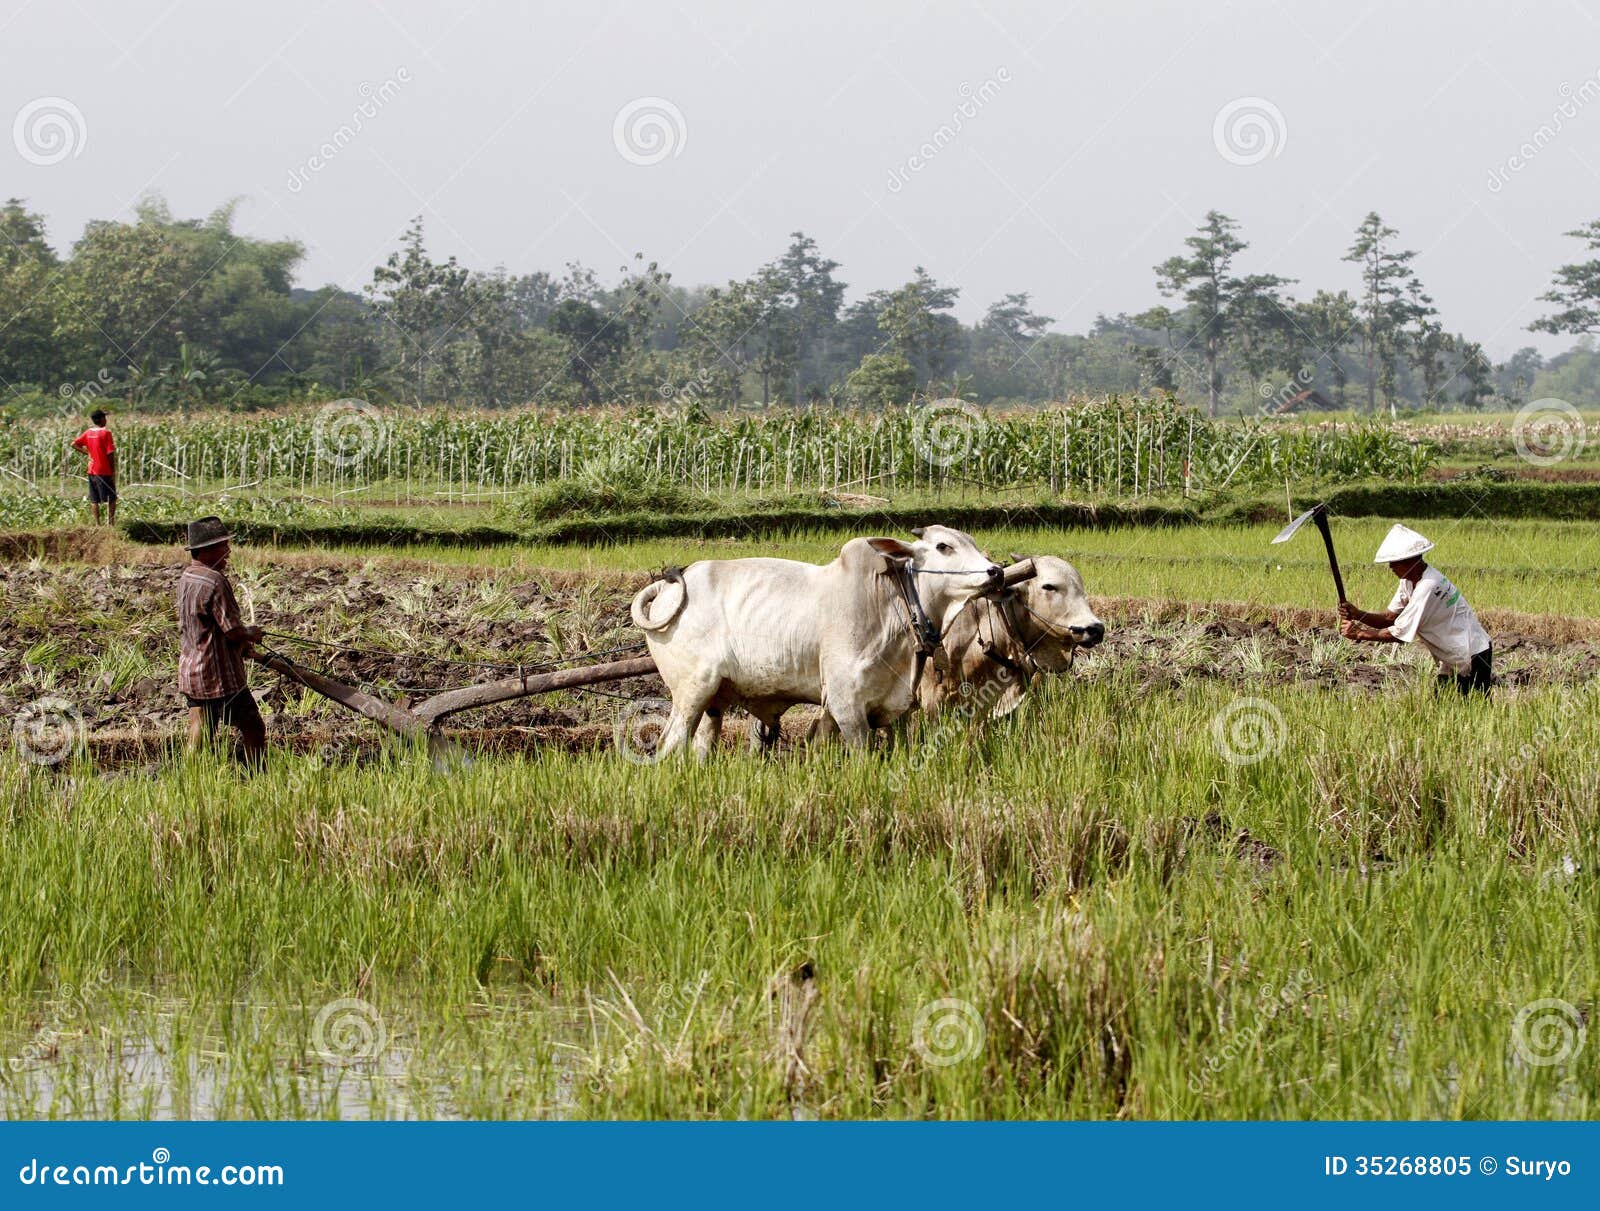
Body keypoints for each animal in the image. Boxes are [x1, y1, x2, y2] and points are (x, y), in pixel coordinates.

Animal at [629, 525, 1002, 759]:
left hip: (712, 702)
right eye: (943, 546)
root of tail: (668, 585)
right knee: (670, 743)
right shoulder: (846, 703)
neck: (890, 601)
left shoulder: (895, 709)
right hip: (691, 691)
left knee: (700, 746)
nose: (996, 571)